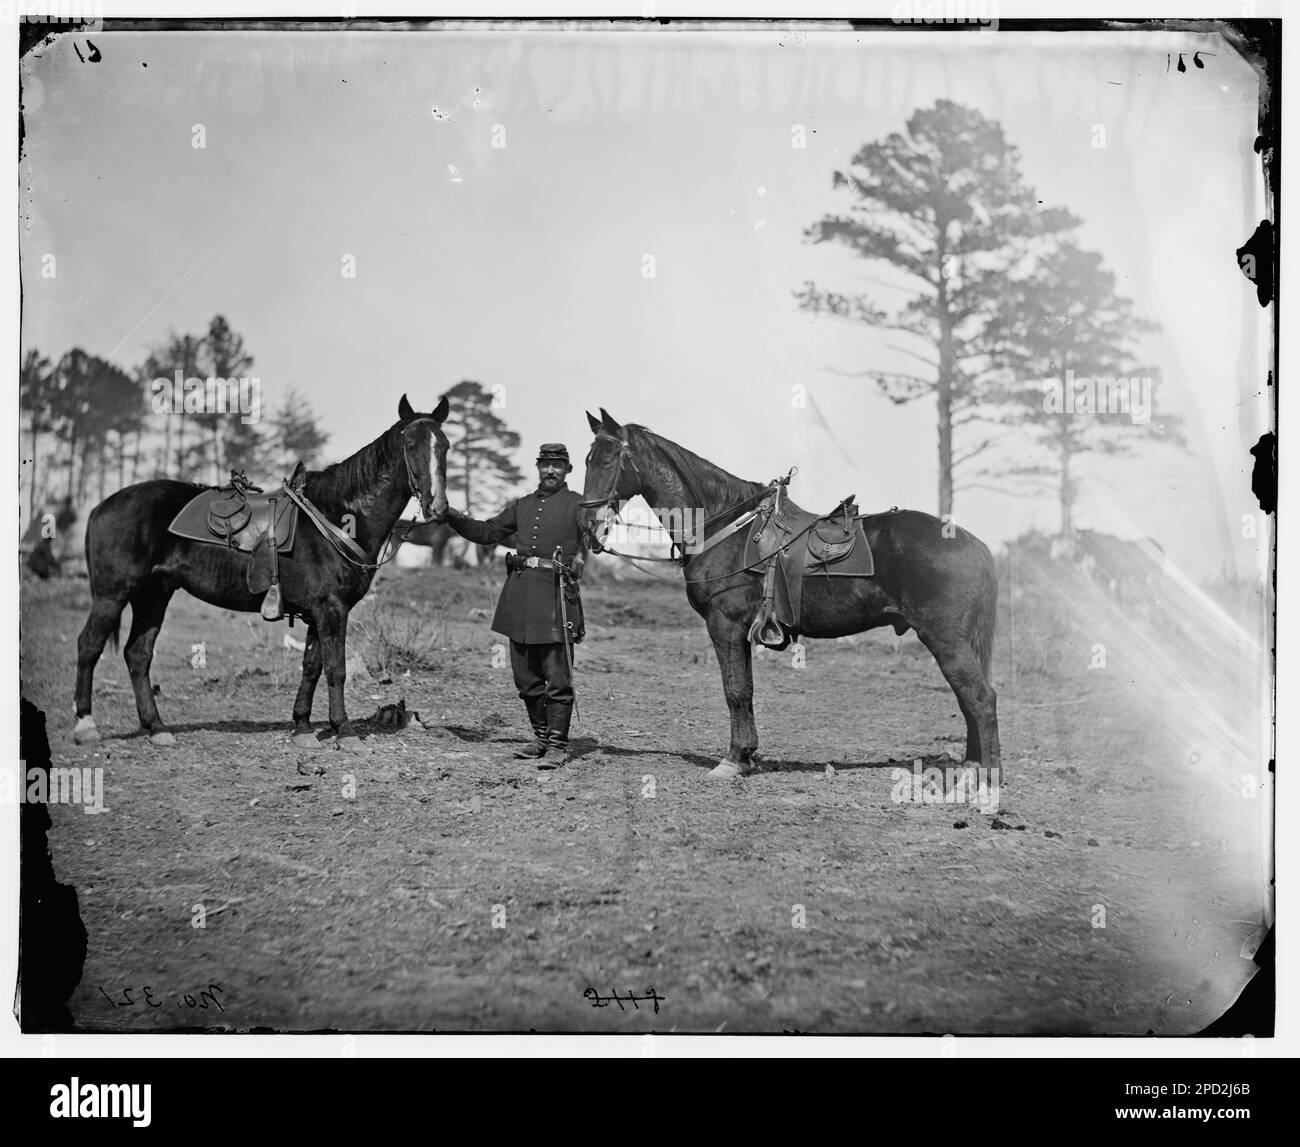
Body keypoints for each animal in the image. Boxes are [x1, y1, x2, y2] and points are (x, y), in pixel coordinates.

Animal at [72, 394, 450, 753]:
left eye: (444, 446)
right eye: (410, 444)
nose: (438, 508)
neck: (338, 518)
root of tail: (100, 506)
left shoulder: (318, 611)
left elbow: (312, 667)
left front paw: (302, 727)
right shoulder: (332, 609)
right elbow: (336, 670)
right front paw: (344, 730)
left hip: (153, 596)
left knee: (138, 655)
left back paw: (157, 727)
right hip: (112, 595)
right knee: (89, 646)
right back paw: (85, 725)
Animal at [579, 409, 1001, 780]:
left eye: (607, 460)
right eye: (587, 459)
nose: (587, 524)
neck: (724, 526)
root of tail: (974, 543)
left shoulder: (724, 625)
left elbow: (735, 691)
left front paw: (732, 761)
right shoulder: (741, 632)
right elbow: (746, 691)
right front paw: (747, 756)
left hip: (946, 640)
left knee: (980, 698)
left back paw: (984, 777)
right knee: (969, 699)